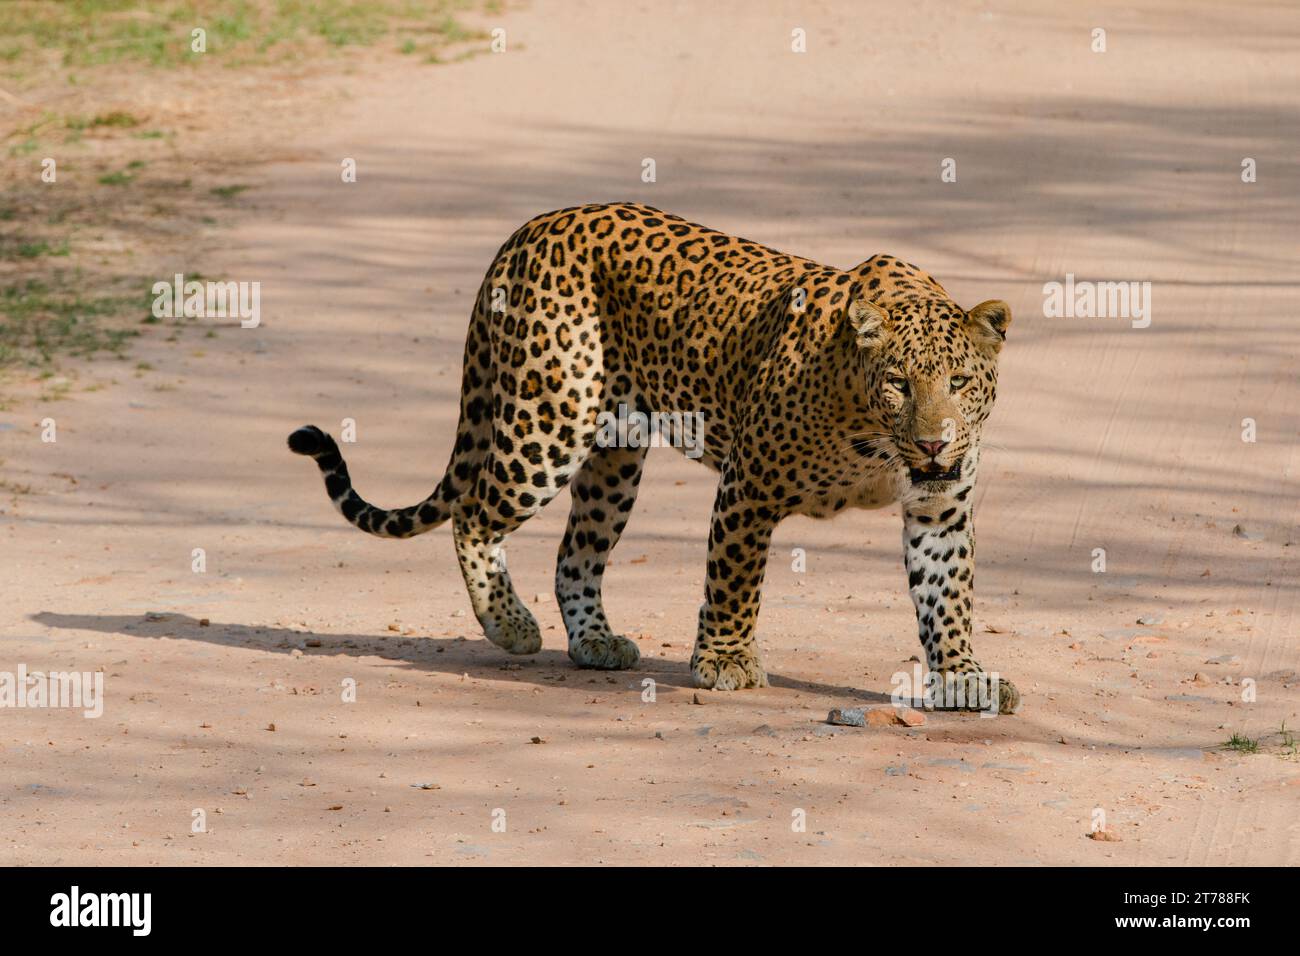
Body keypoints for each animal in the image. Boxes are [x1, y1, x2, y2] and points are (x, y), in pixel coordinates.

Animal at [288, 202, 1020, 714]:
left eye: (959, 382)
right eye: (899, 382)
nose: (934, 442)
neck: (875, 435)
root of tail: (527, 230)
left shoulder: (940, 510)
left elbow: (947, 595)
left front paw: (962, 678)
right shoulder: (748, 488)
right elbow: (733, 583)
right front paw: (726, 661)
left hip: (614, 459)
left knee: (574, 555)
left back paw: (594, 642)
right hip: (548, 424)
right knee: (473, 513)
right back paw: (508, 623)